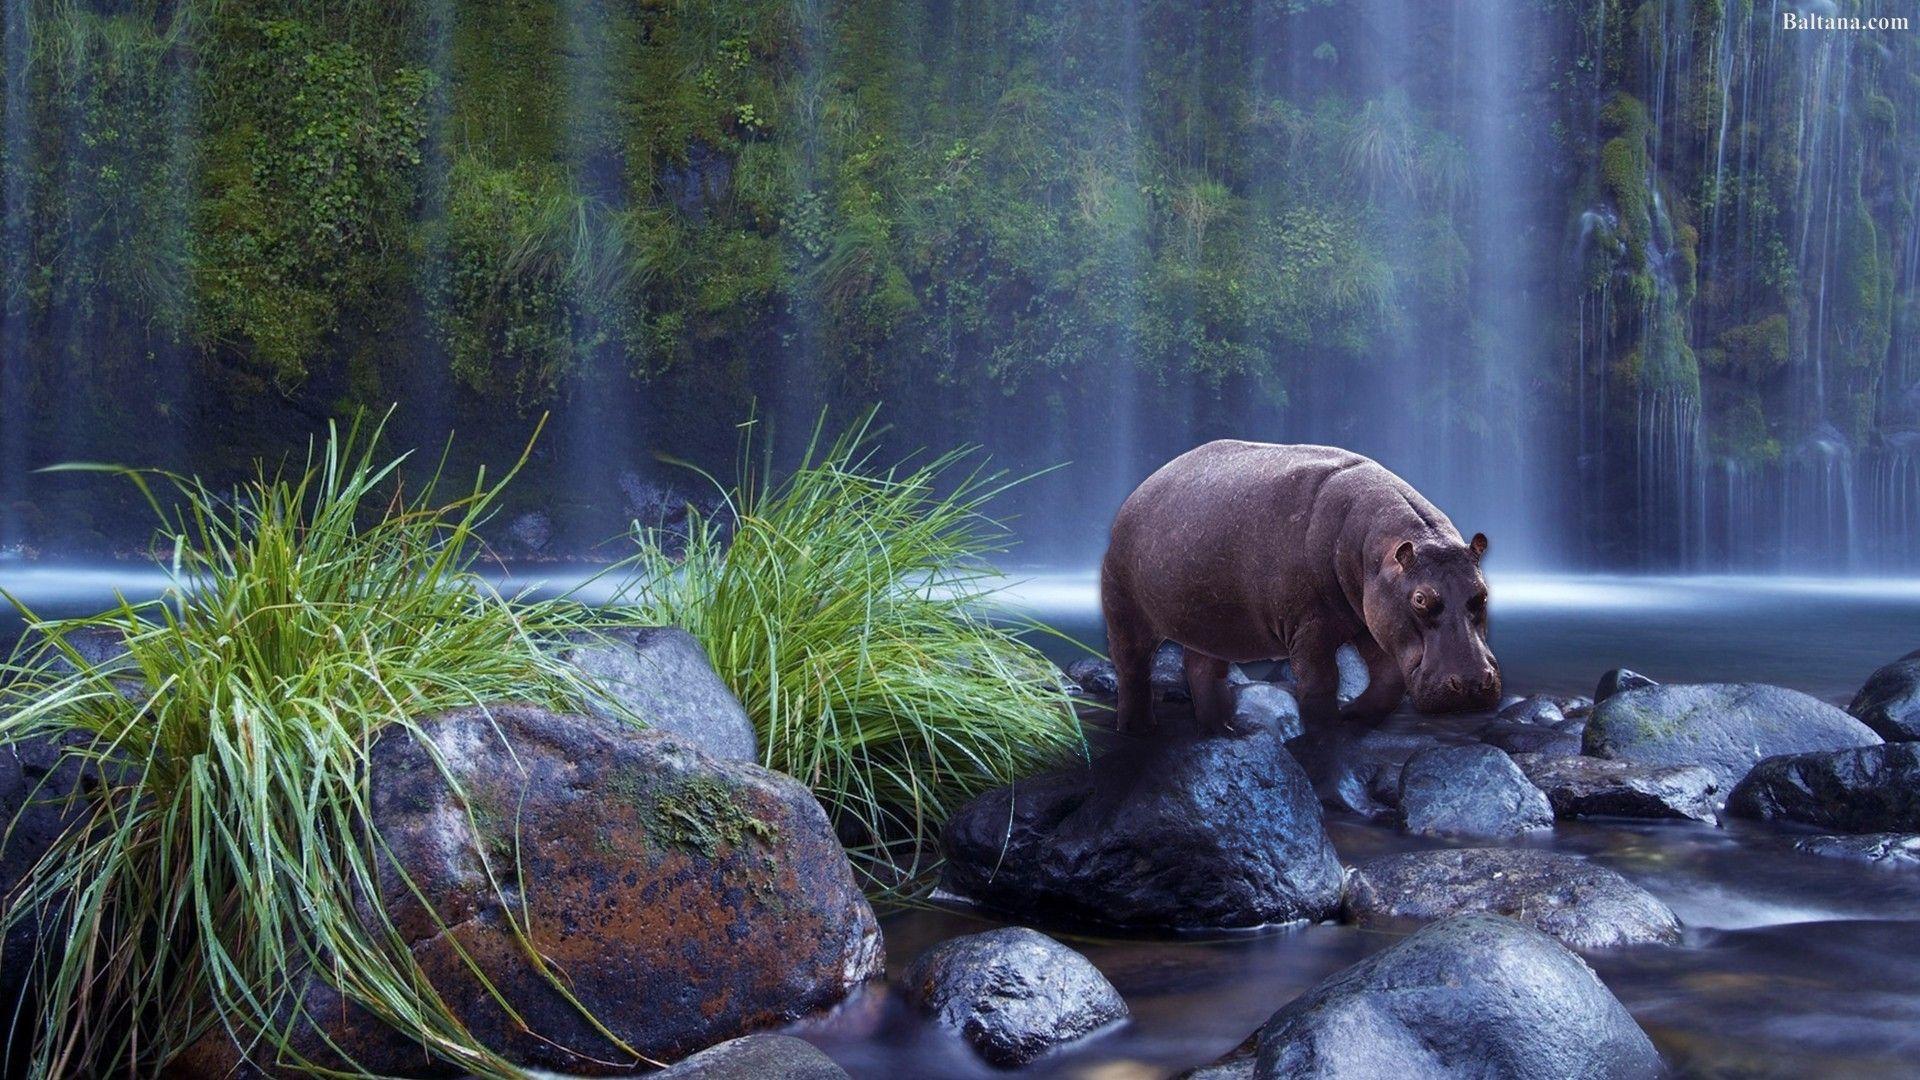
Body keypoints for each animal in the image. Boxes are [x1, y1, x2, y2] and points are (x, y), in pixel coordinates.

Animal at [1100, 440, 1500, 733]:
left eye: (1482, 593)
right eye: (1419, 598)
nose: (1470, 684)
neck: (1379, 549)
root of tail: (1139, 490)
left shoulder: (1371, 618)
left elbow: (1388, 679)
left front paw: (1354, 717)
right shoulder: (1310, 627)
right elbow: (1321, 680)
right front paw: (1326, 729)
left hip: (1211, 622)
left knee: (1202, 668)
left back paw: (1224, 730)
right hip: (1125, 611)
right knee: (1132, 668)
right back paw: (1138, 730)